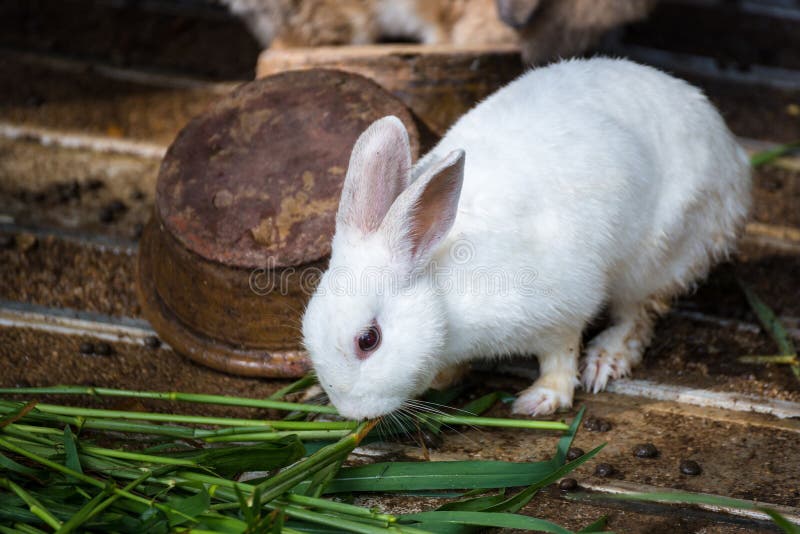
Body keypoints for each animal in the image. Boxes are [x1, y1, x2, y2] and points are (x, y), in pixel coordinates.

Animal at [301, 57, 751, 420]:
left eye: (368, 341)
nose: (351, 412)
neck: (442, 294)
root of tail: (731, 156)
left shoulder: (562, 306)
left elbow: (560, 355)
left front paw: (542, 399)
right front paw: (445, 377)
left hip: (656, 256)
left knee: (636, 315)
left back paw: (605, 360)